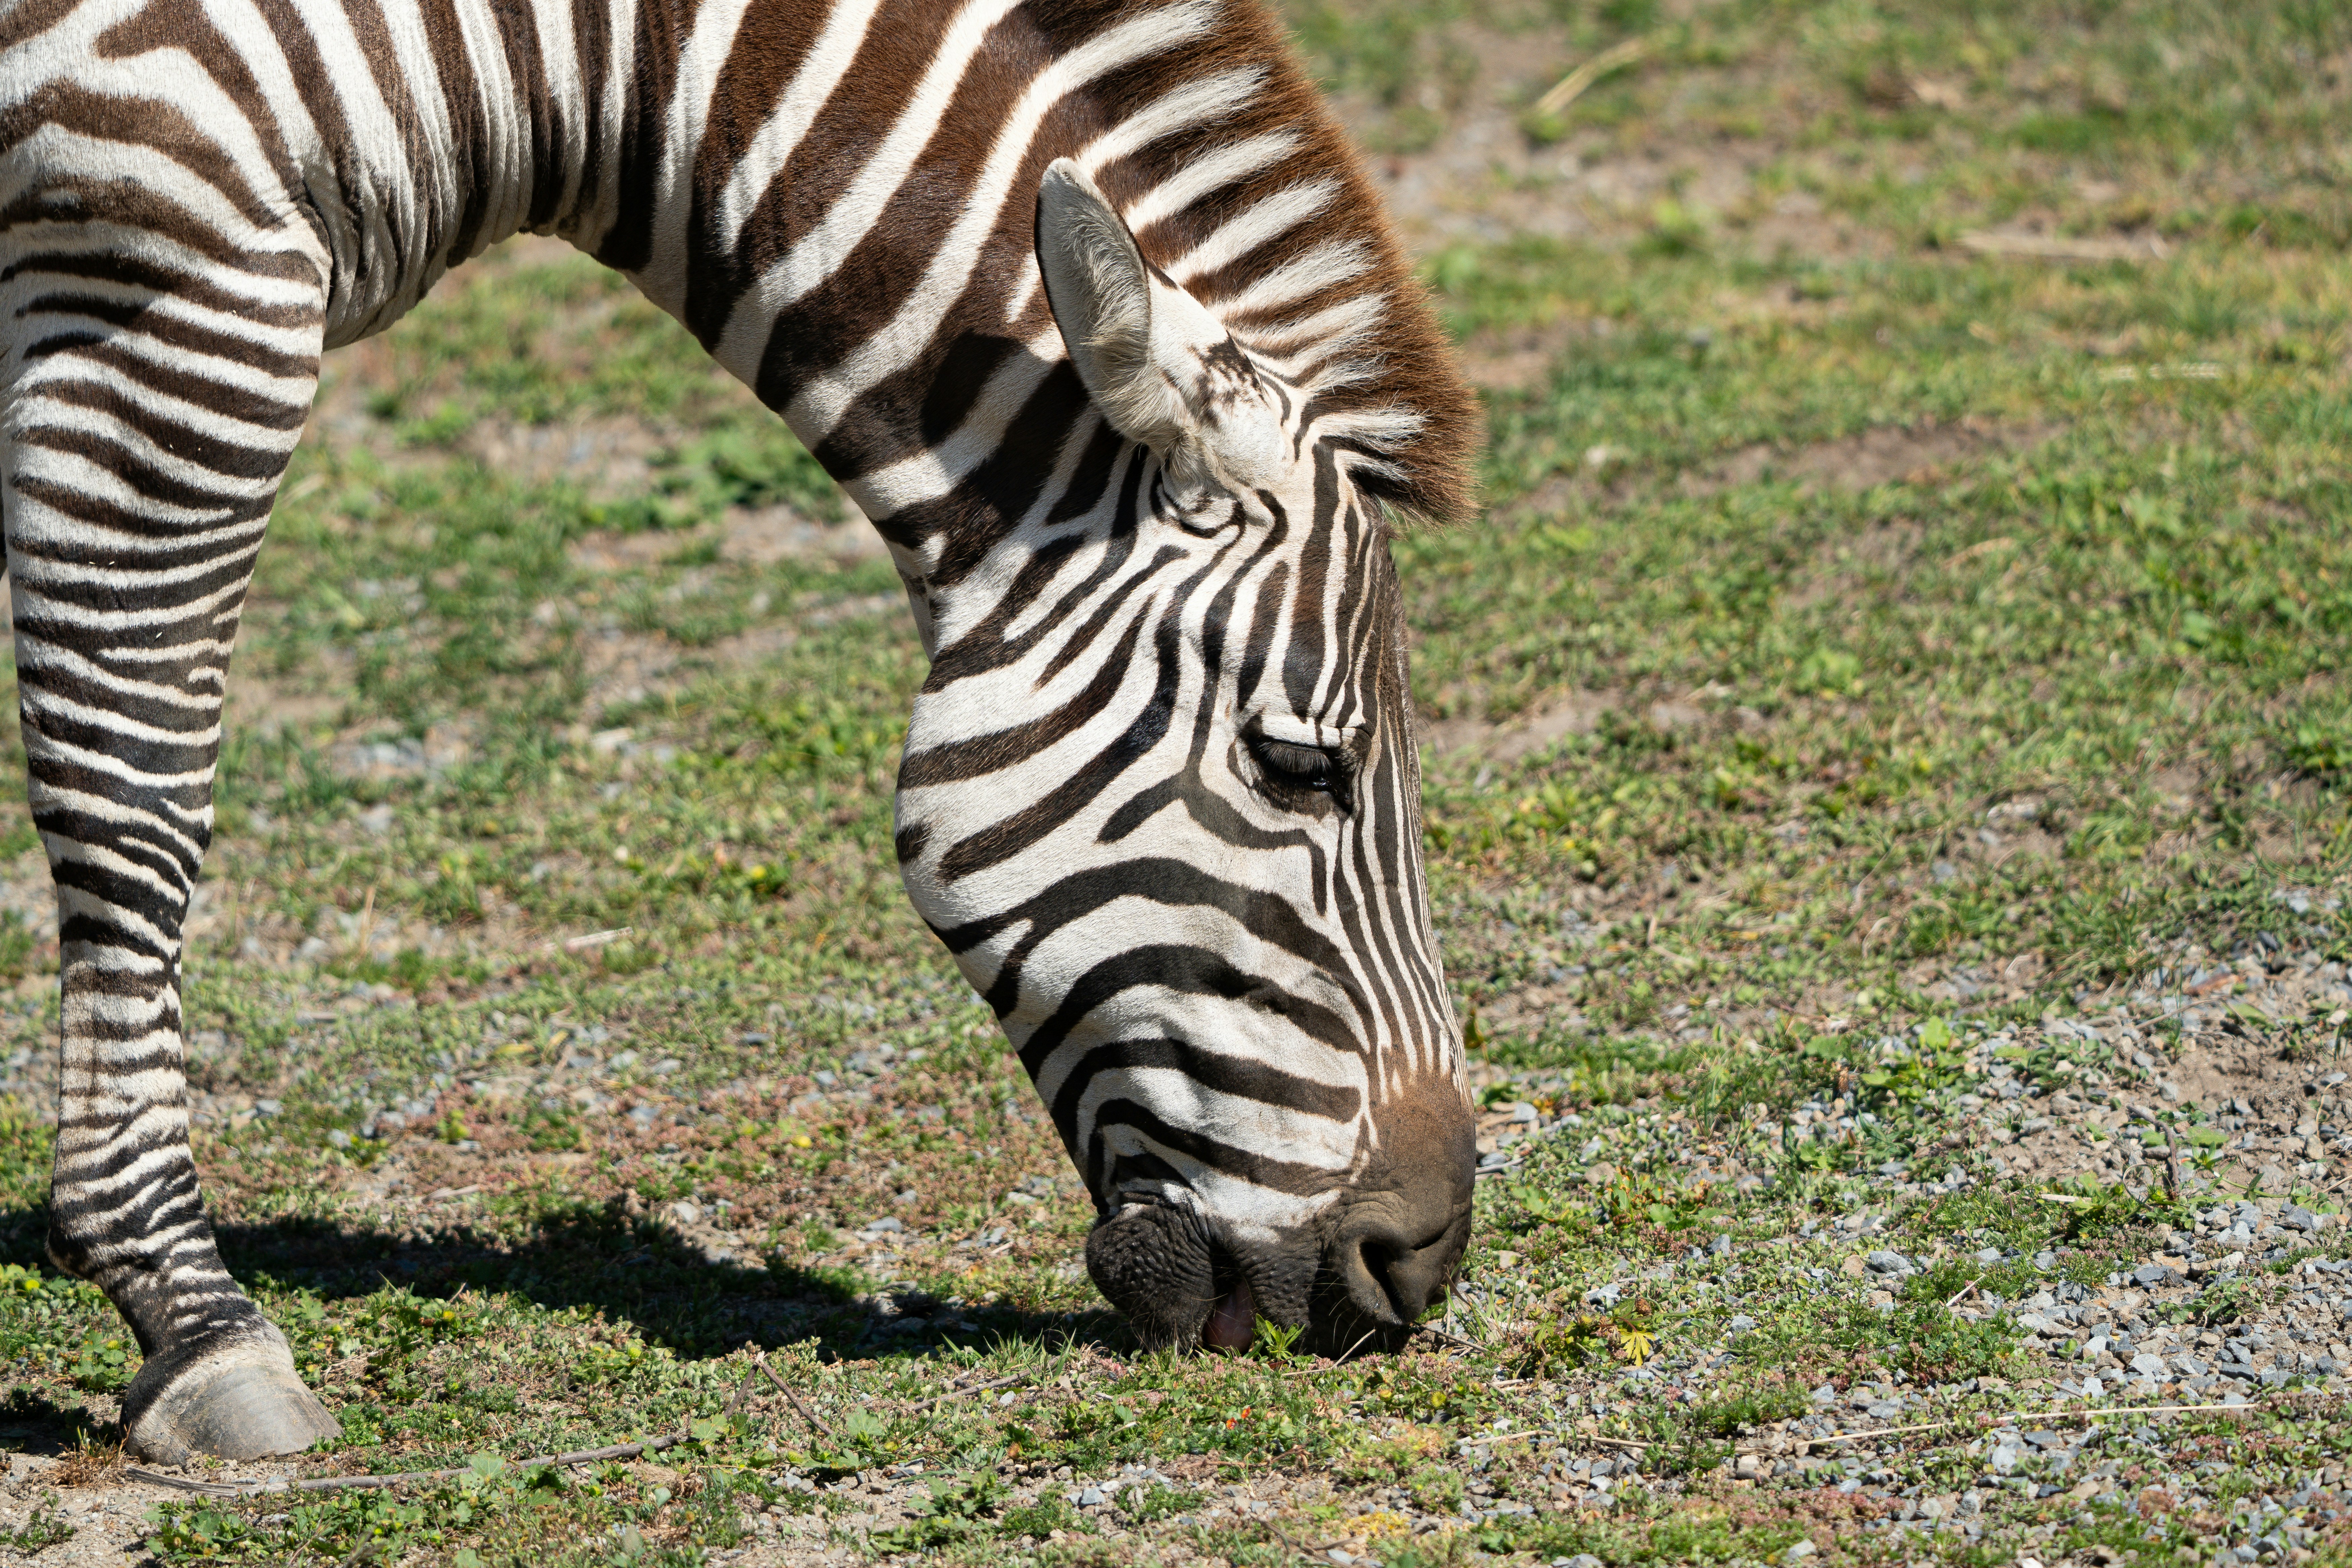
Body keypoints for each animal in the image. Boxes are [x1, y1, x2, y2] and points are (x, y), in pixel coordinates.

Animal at [0, 0, 1483, 1463]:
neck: (571, 50)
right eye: (1299, 766)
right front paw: (189, 1316)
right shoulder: (162, 268)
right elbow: (135, 792)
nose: (1418, 1264)